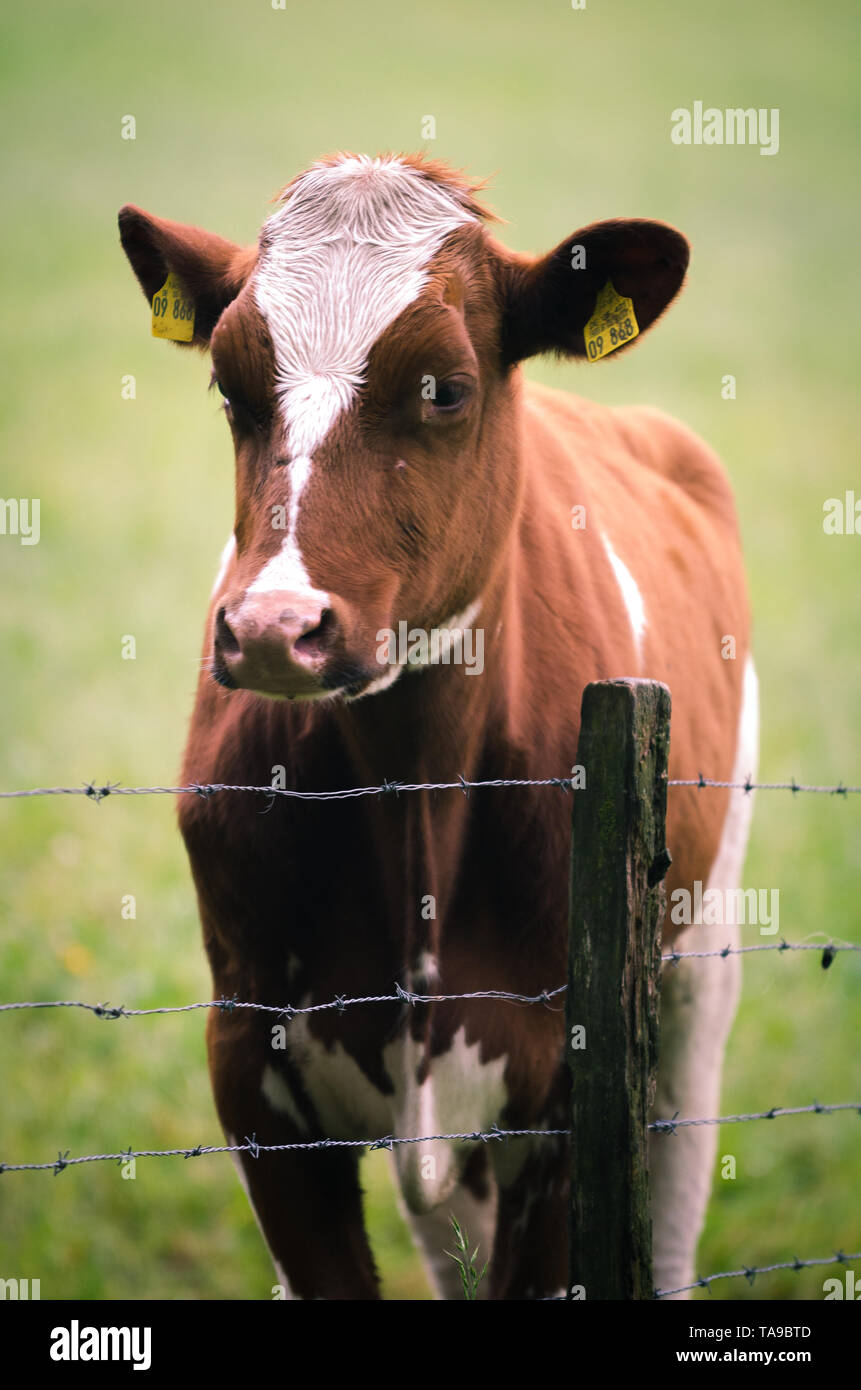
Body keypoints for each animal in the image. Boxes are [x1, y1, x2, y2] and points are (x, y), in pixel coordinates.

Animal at [118, 152, 757, 1300]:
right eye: (229, 385)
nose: (274, 629)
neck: (414, 787)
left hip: (700, 960)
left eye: (446, 388)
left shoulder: (568, 1089)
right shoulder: (253, 1073)